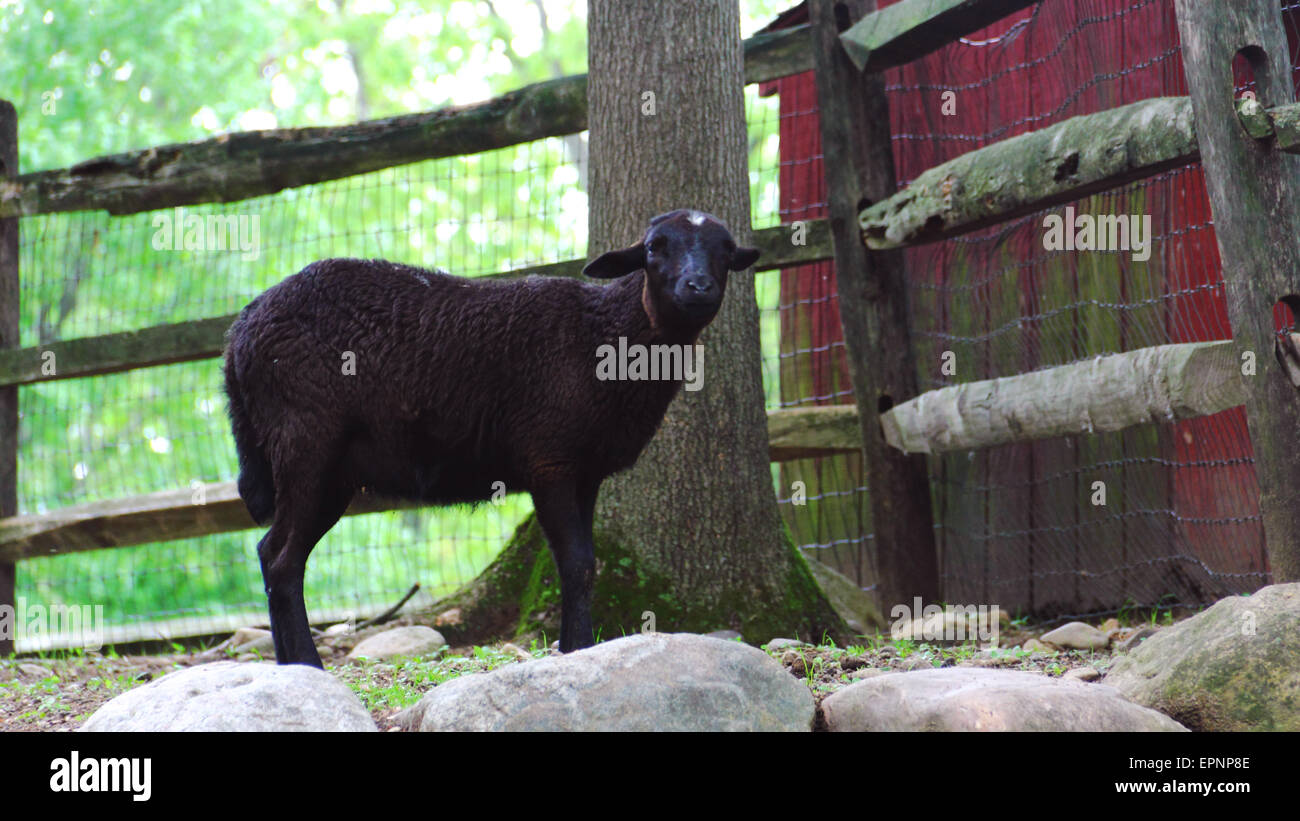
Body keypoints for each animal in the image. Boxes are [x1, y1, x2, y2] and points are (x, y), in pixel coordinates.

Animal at [224, 209, 760, 666]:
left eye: (726, 251)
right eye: (653, 248)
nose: (698, 286)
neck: (605, 334)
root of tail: (238, 333)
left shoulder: (585, 472)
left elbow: (584, 564)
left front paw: (574, 646)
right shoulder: (550, 458)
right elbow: (578, 563)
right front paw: (579, 648)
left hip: (332, 470)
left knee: (271, 552)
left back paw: (289, 665)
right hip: (305, 440)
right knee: (282, 559)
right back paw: (307, 665)